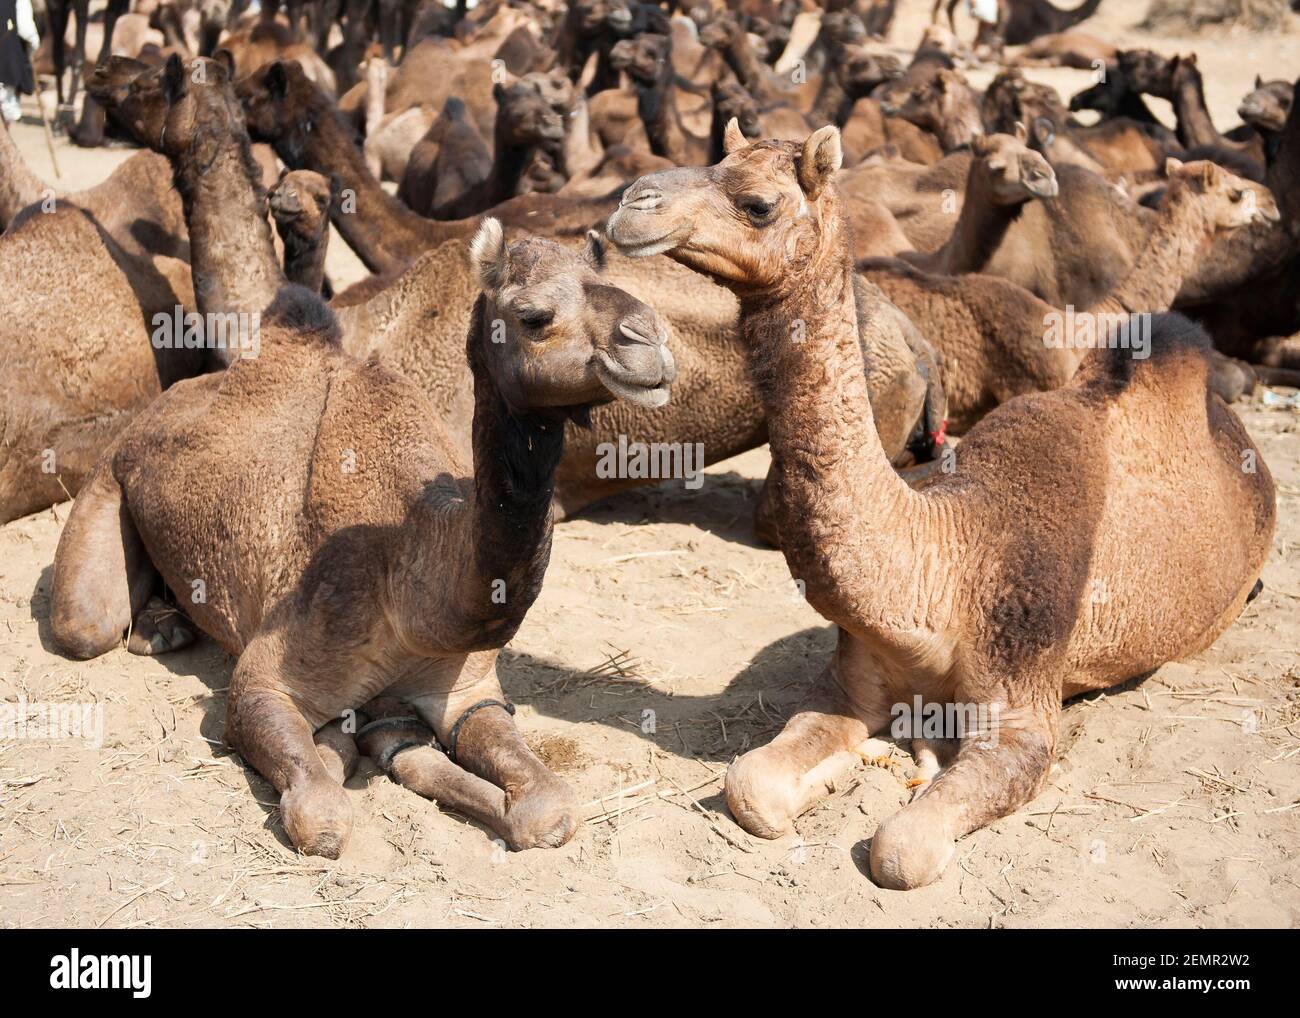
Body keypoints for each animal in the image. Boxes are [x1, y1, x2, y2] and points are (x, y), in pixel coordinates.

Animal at [48, 225, 676, 859]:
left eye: (617, 283)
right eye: (534, 316)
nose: (650, 340)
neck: (412, 578)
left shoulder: (467, 688)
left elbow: (549, 807)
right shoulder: (265, 682)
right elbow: (322, 816)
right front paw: (344, 746)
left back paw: (166, 626)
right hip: (108, 477)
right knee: (86, 623)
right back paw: (155, 630)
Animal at [605, 125, 1275, 889]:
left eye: (758, 203)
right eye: (717, 161)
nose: (632, 202)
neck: (944, 567)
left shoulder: (1021, 712)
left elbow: (902, 851)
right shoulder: (847, 682)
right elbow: (751, 785)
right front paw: (853, 766)